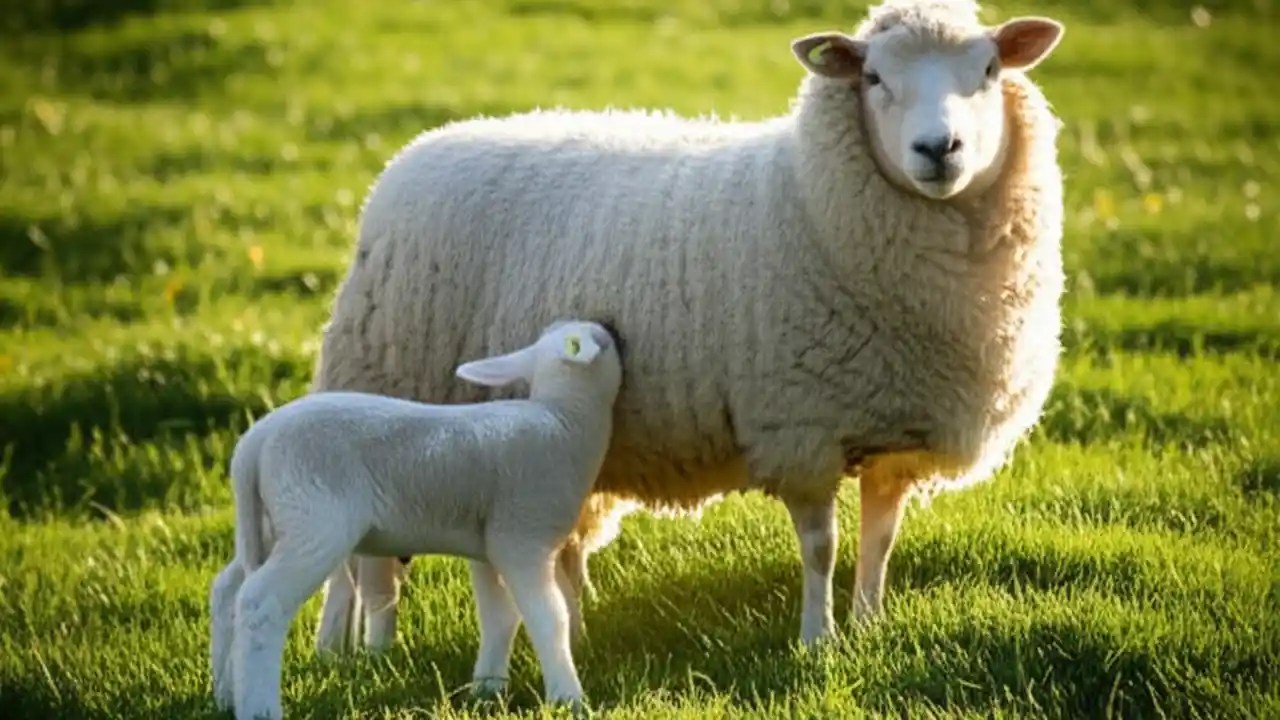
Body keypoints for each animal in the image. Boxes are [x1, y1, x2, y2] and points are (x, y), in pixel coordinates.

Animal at [208, 320, 623, 719]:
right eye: (597, 339)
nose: (610, 330)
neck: (564, 418)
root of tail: (254, 442)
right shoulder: (522, 540)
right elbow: (548, 617)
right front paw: (568, 697)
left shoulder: (489, 548)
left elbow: (499, 617)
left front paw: (487, 689)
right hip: (314, 524)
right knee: (259, 602)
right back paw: (259, 707)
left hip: (269, 523)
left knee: (228, 589)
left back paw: (225, 694)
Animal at [312, 0, 1068, 652]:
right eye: (875, 78)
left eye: (990, 71)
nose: (940, 148)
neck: (808, 193)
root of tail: (413, 154)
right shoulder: (800, 425)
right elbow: (821, 547)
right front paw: (817, 639)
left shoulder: (895, 431)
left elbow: (879, 541)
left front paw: (870, 625)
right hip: (380, 385)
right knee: (354, 555)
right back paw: (348, 651)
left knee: (557, 545)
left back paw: (571, 628)